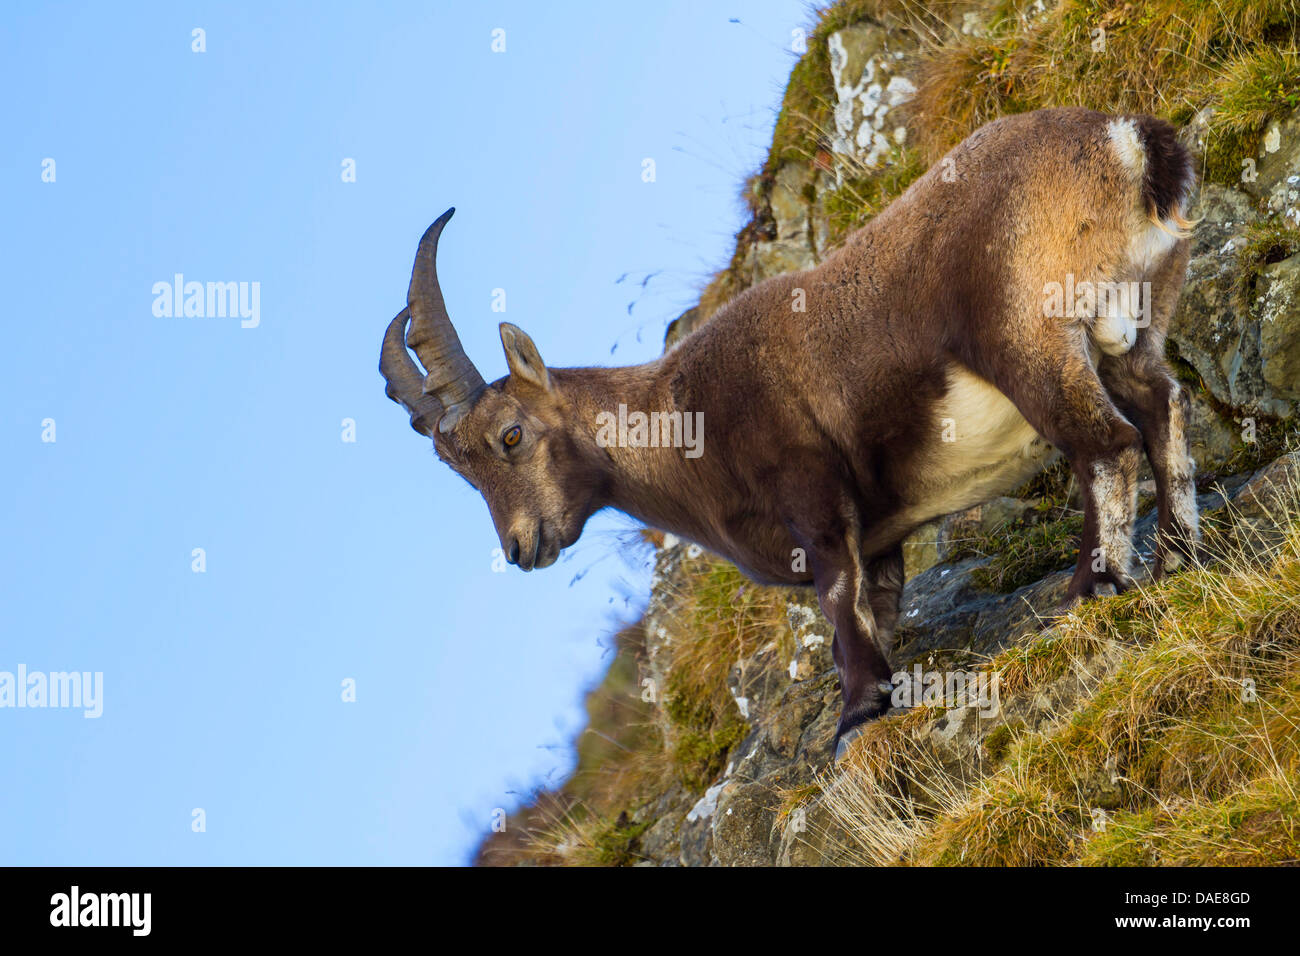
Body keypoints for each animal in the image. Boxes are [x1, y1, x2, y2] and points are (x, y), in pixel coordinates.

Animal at [379, 107, 1198, 759]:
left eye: (511, 435)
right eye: (456, 467)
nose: (523, 548)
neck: (679, 418)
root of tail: (1123, 143)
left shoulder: (809, 491)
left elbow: (837, 601)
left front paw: (855, 714)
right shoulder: (879, 536)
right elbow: (875, 605)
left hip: (1029, 337)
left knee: (1108, 445)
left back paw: (1092, 587)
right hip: (1138, 325)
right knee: (1164, 409)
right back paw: (1176, 558)